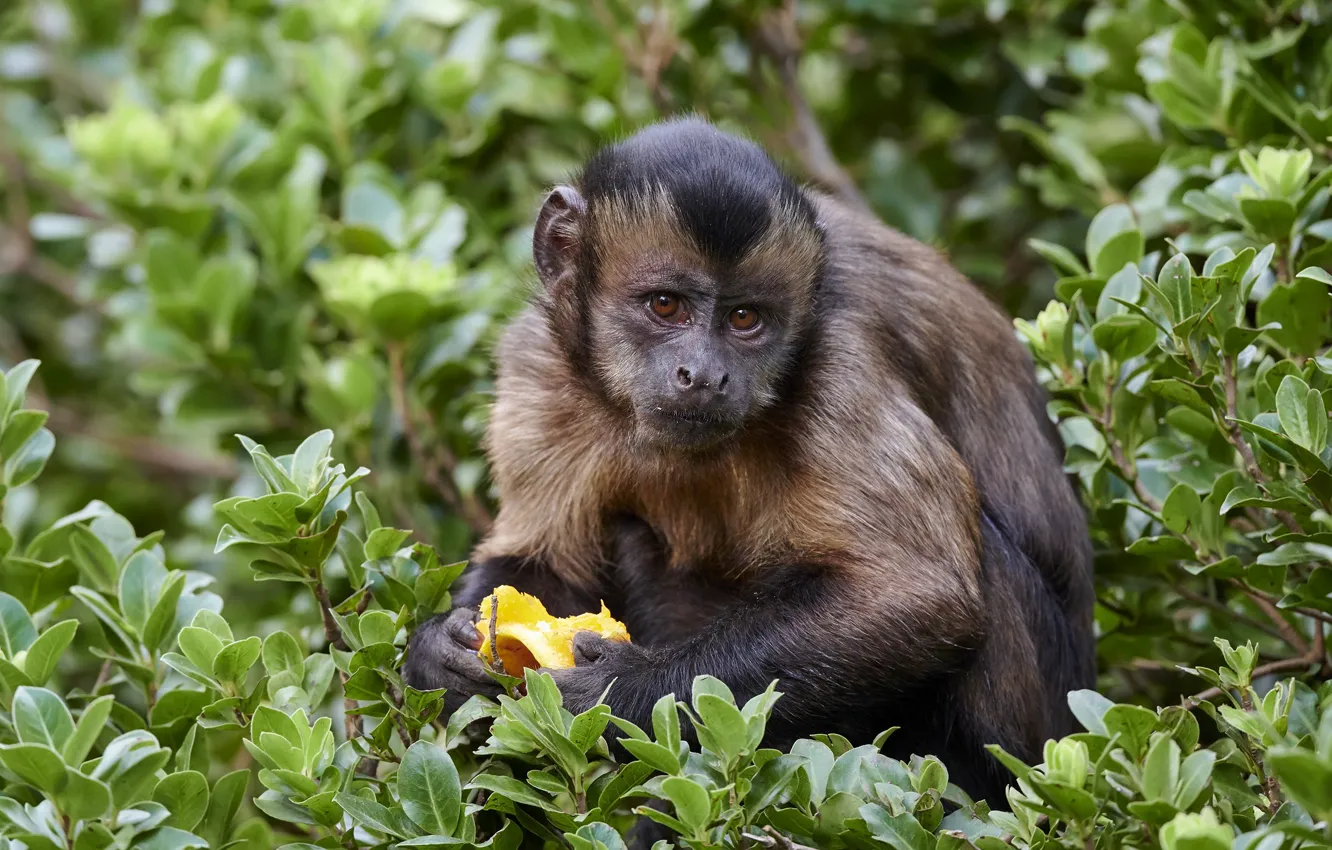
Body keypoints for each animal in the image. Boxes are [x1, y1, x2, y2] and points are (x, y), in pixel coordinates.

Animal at [403, 117, 1095, 806]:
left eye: (745, 318)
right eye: (665, 305)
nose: (705, 375)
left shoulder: (841, 355)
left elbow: (919, 592)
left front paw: (619, 691)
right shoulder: (539, 362)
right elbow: (542, 564)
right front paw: (440, 654)